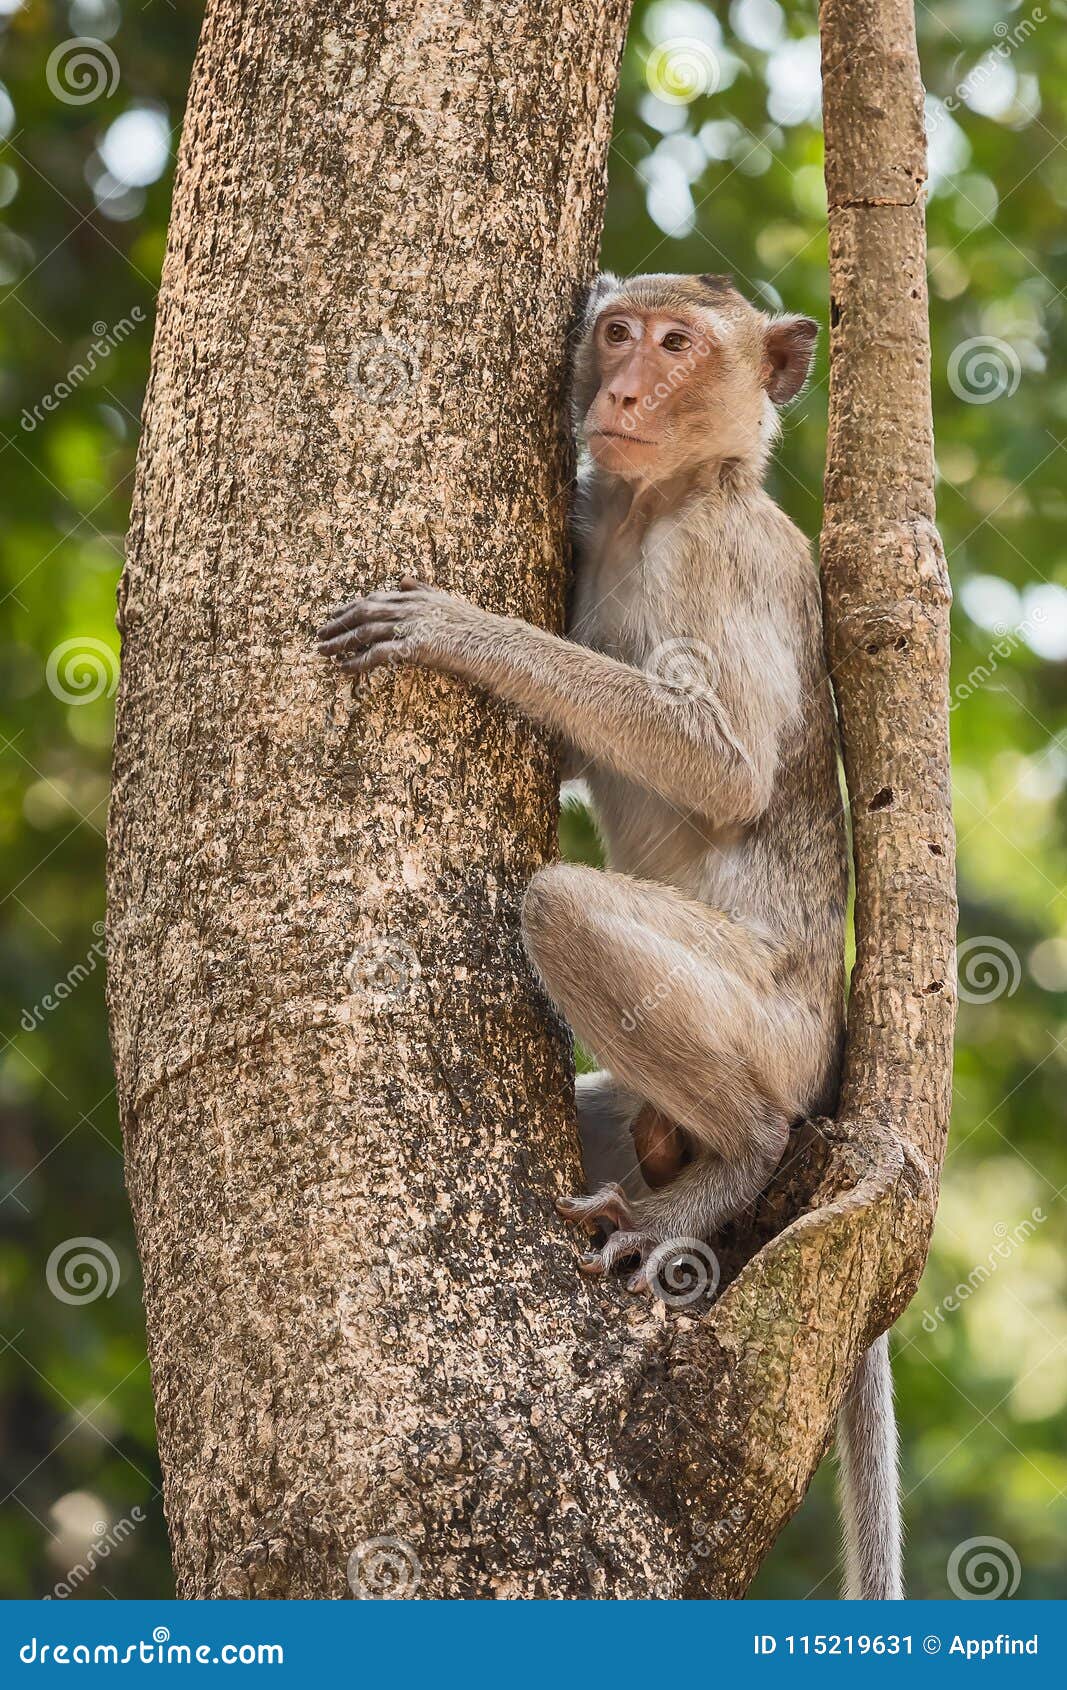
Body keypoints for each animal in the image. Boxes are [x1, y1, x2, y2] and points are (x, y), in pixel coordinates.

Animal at [316, 271, 902, 1600]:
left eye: (677, 344)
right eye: (617, 332)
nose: (624, 390)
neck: (664, 500)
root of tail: (830, 1058)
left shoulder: (710, 561)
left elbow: (719, 765)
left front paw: (458, 629)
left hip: (766, 1023)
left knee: (561, 905)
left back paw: (740, 1160)